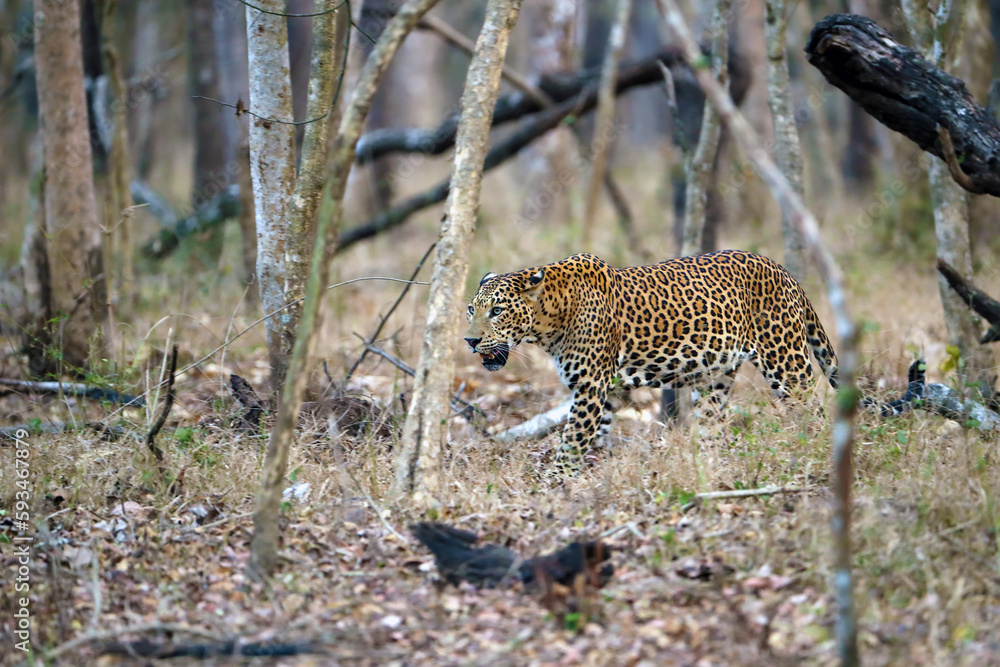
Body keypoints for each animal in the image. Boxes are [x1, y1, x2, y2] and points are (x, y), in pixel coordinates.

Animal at [464, 250, 846, 475]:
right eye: (471, 309)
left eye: (496, 310)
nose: (470, 341)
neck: (549, 317)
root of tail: (783, 270)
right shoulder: (607, 390)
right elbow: (595, 436)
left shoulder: (590, 387)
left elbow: (571, 442)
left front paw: (554, 485)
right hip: (716, 377)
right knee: (712, 424)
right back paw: (706, 468)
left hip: (786, 362)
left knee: (814, 410)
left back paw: (815, 453)